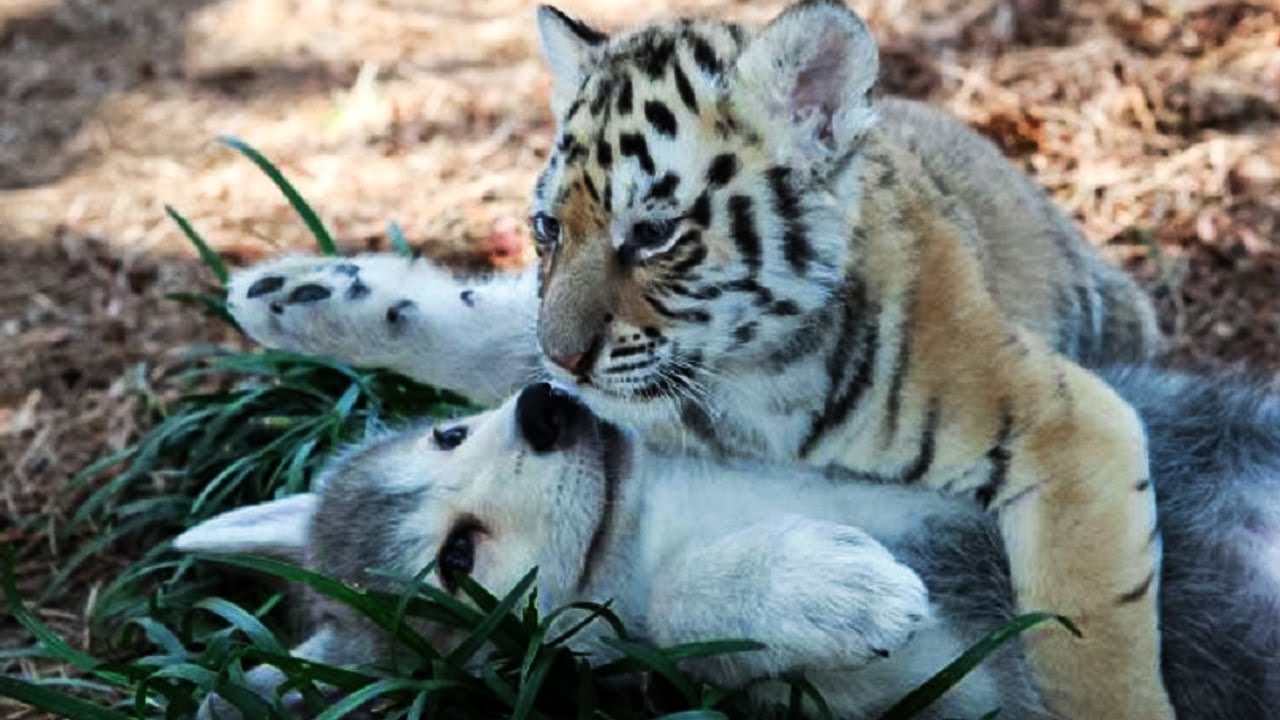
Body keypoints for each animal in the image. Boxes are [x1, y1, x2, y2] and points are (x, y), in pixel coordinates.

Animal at [226, 1, 1174, 717]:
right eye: (547, 228)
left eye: (652, 235)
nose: (560, 375)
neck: (735, 384)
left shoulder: (1066, 431)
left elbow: (1092, 644)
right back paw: (287, 291)